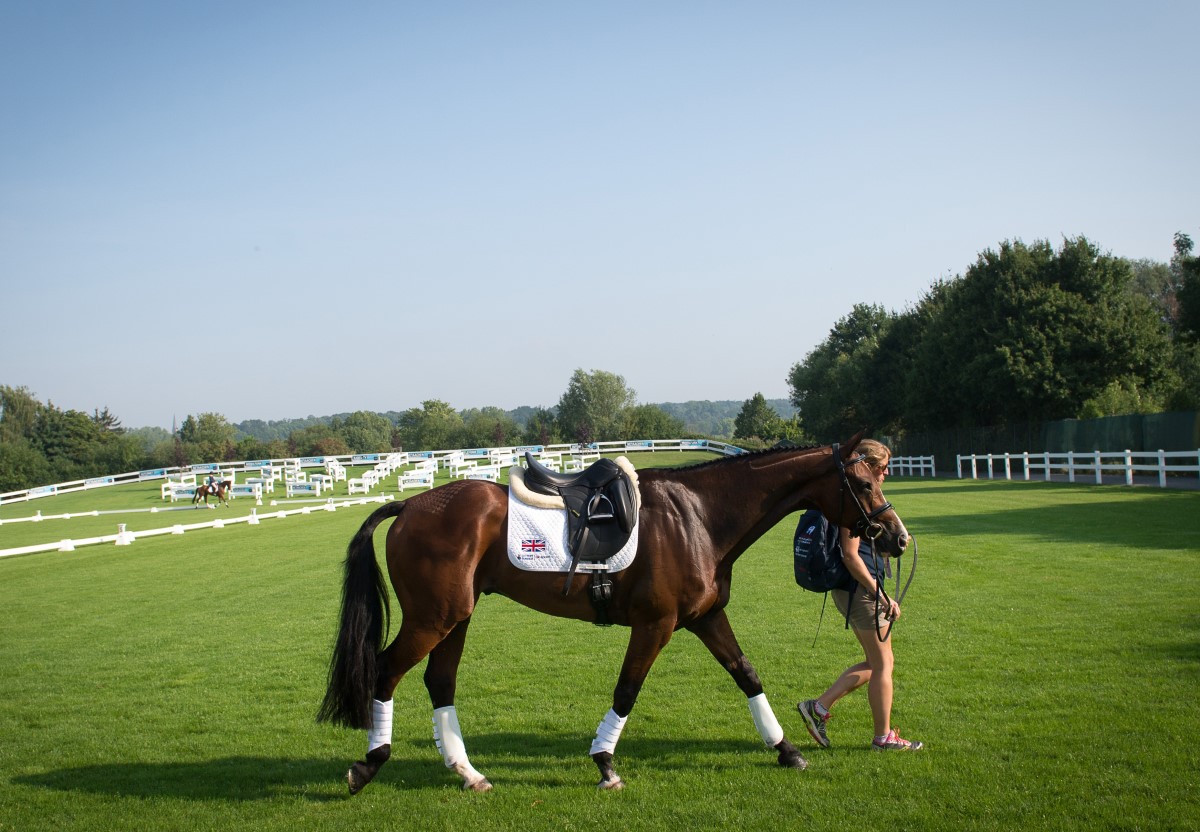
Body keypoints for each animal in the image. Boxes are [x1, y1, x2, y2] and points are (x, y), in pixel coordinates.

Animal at [317, 432, 908, 794]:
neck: (698, 516)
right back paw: (369, 763)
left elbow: (747, 674)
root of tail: (412, 504)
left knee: (440, 683)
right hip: (431, 619)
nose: (897, 538)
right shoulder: (656, 625)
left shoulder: (705, 617)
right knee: (385, 671)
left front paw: (786, 749)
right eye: (863, 483)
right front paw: (605, 763)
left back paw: (468, 773)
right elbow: (628, 689)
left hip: (455, 618)